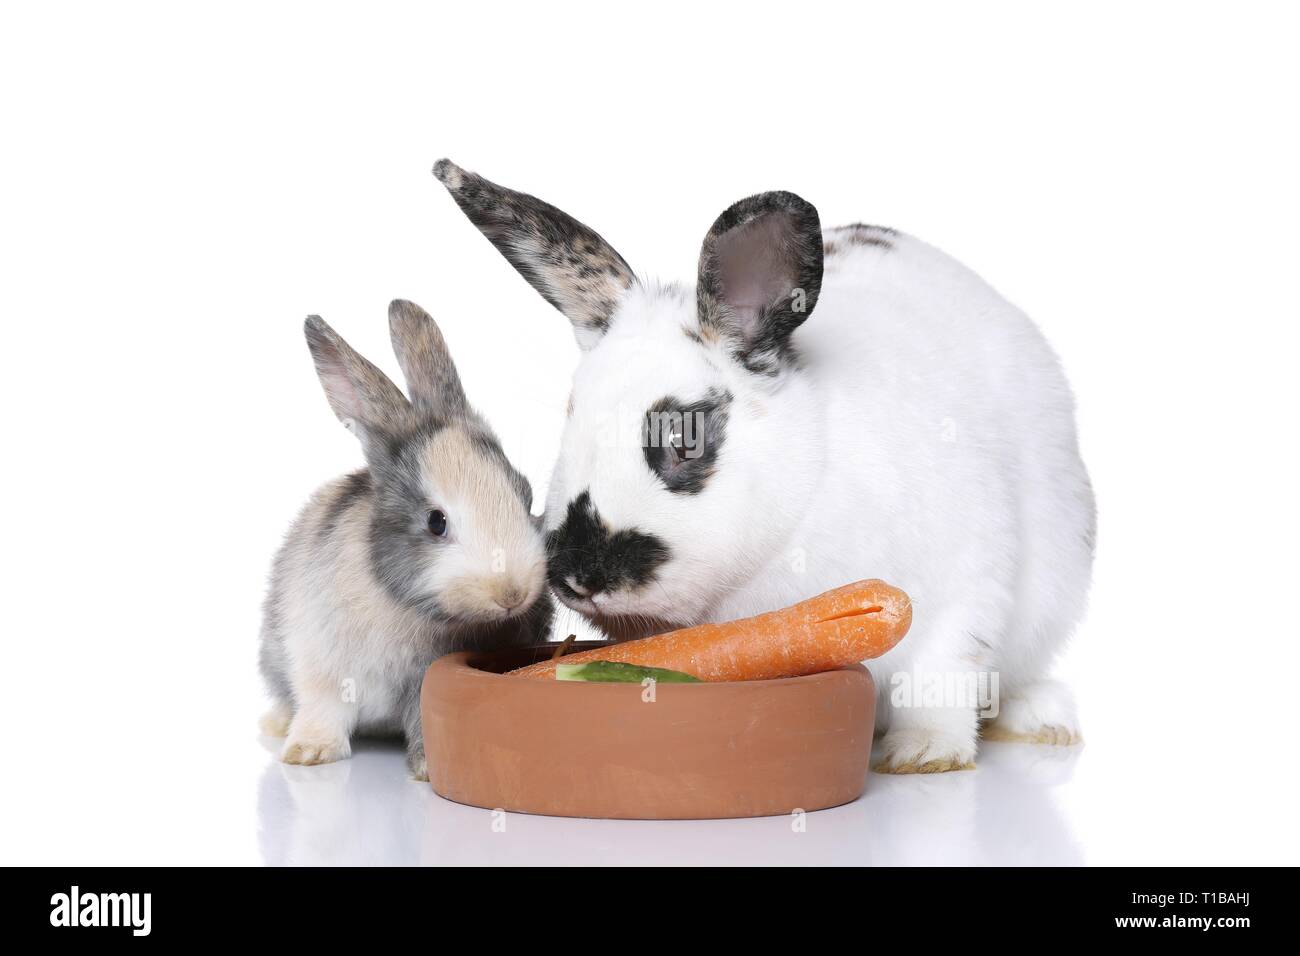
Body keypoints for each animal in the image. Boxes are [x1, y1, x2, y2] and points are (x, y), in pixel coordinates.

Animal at [259, 299, 552, 779]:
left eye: (524, 494)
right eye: (436, 522)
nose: (512, 594)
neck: (405, 606)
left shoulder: (425, 679)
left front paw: (430, 767)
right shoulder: (320, 664)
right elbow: (321, 707)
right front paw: (309, 753)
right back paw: (277, 724)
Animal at [433, 159, 1095, 774]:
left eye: (684, 438)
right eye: (571, 416)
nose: (578, 576)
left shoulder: (962, 586)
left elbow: (940, 675)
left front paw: (924, 754)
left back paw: (1046, 721)